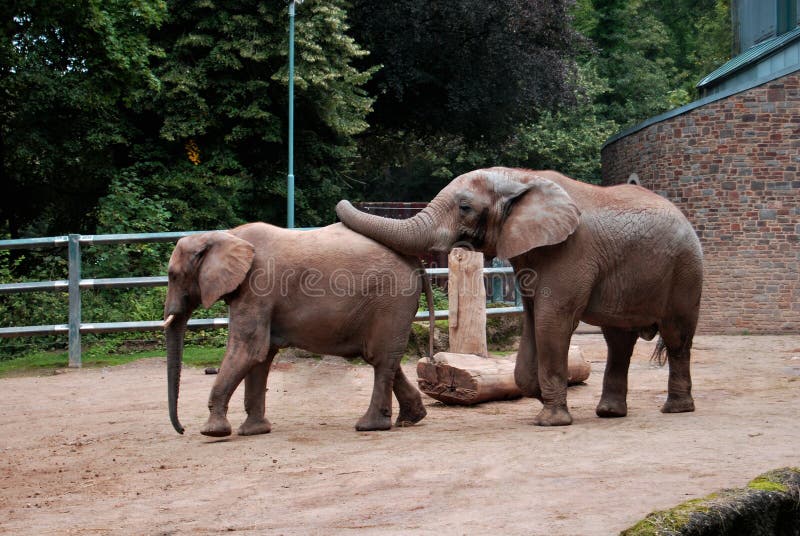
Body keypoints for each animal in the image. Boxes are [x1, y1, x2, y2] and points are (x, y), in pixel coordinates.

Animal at [163, 222, 434, 437]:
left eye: (173, 275)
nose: (182, 429)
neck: (226, 235)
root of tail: (417, 262)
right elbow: (261, 356)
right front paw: (254, 431)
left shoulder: (258, 287)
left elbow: (249, 350)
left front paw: (212, 432)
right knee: (383, 357)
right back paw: (410, 418)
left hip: (392, 299)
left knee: (381, 358)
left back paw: (369, 426)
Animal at [336, 167, 703, 426]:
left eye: (465, 207)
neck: (520, 177)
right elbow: (531, 318)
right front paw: (538, 393)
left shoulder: (571, 250)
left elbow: (551, 319)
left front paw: (550, 420)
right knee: (619, 341)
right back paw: (611, 413)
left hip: (686, 270)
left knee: (676, 337)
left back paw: (676, 409)